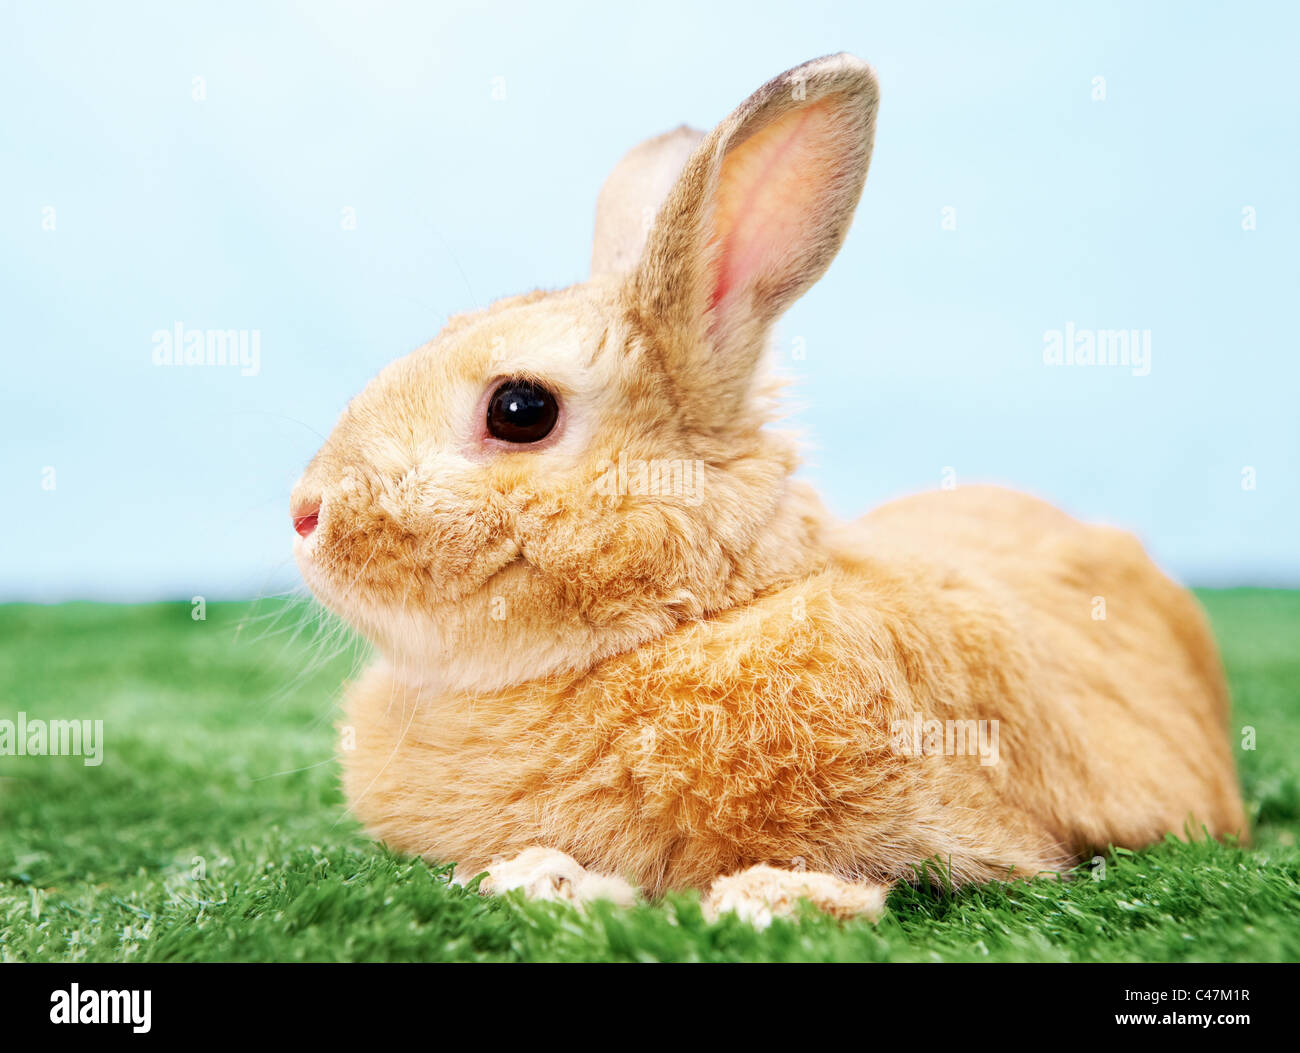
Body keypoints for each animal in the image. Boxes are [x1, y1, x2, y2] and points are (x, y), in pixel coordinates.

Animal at [291, 53, 1247, 925]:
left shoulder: (962, 829)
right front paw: (539, 880)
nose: (304, 513)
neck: (694, 617)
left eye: (520, 409)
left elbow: (903, 880)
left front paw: (766, 899)